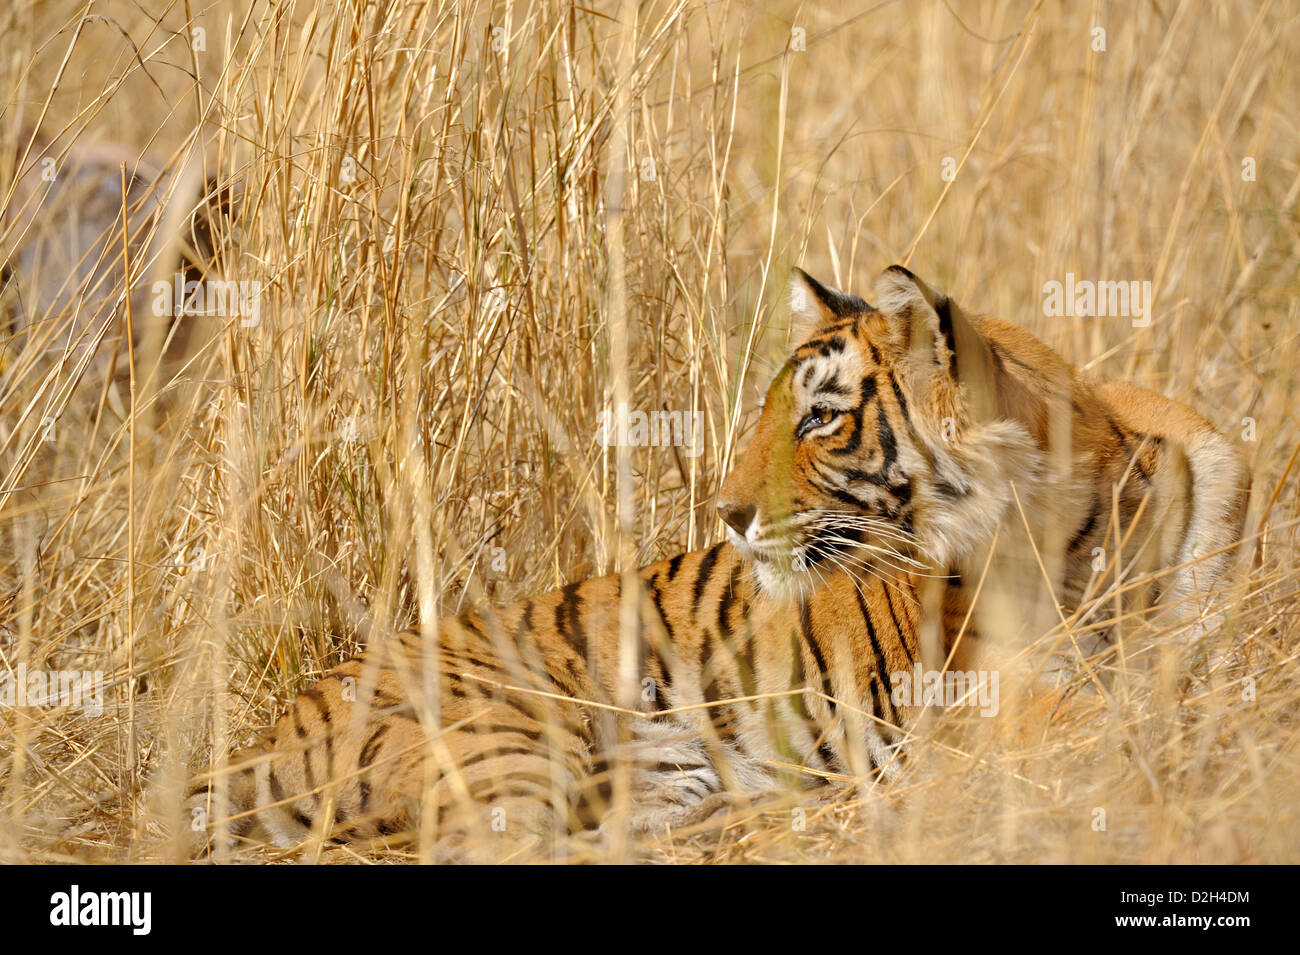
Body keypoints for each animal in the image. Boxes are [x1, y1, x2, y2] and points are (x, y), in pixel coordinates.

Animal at [182, 264, 1247, 861]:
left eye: (820, 417)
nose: (727, 514)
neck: (1079, 526)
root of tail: (279, 723)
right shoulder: (988, 705)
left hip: (664, 767)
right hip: (514, 736)